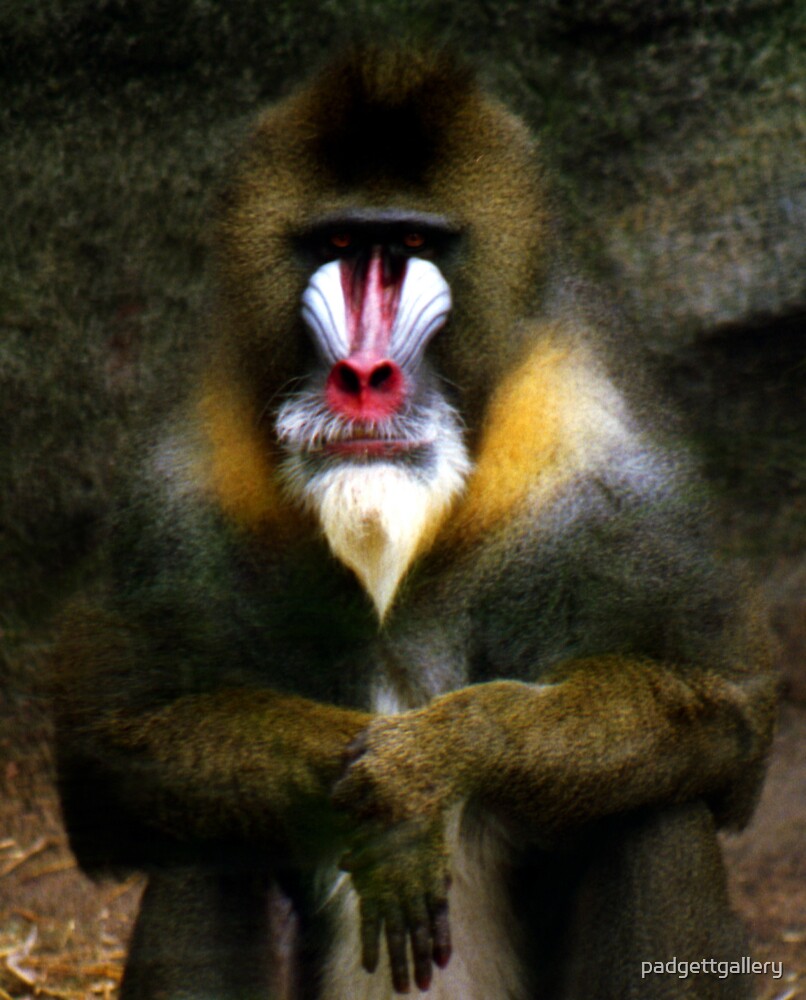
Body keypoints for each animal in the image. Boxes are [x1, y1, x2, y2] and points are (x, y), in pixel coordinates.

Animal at [51, 46, 776, 1000]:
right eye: (340, 246)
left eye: (417, 247)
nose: (365, 377)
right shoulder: (176, 489)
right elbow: (110, 747)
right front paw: (360, 772)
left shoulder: (615, 464)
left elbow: (729, 709)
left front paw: (430, 761)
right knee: (199, 847)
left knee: (655, 812)